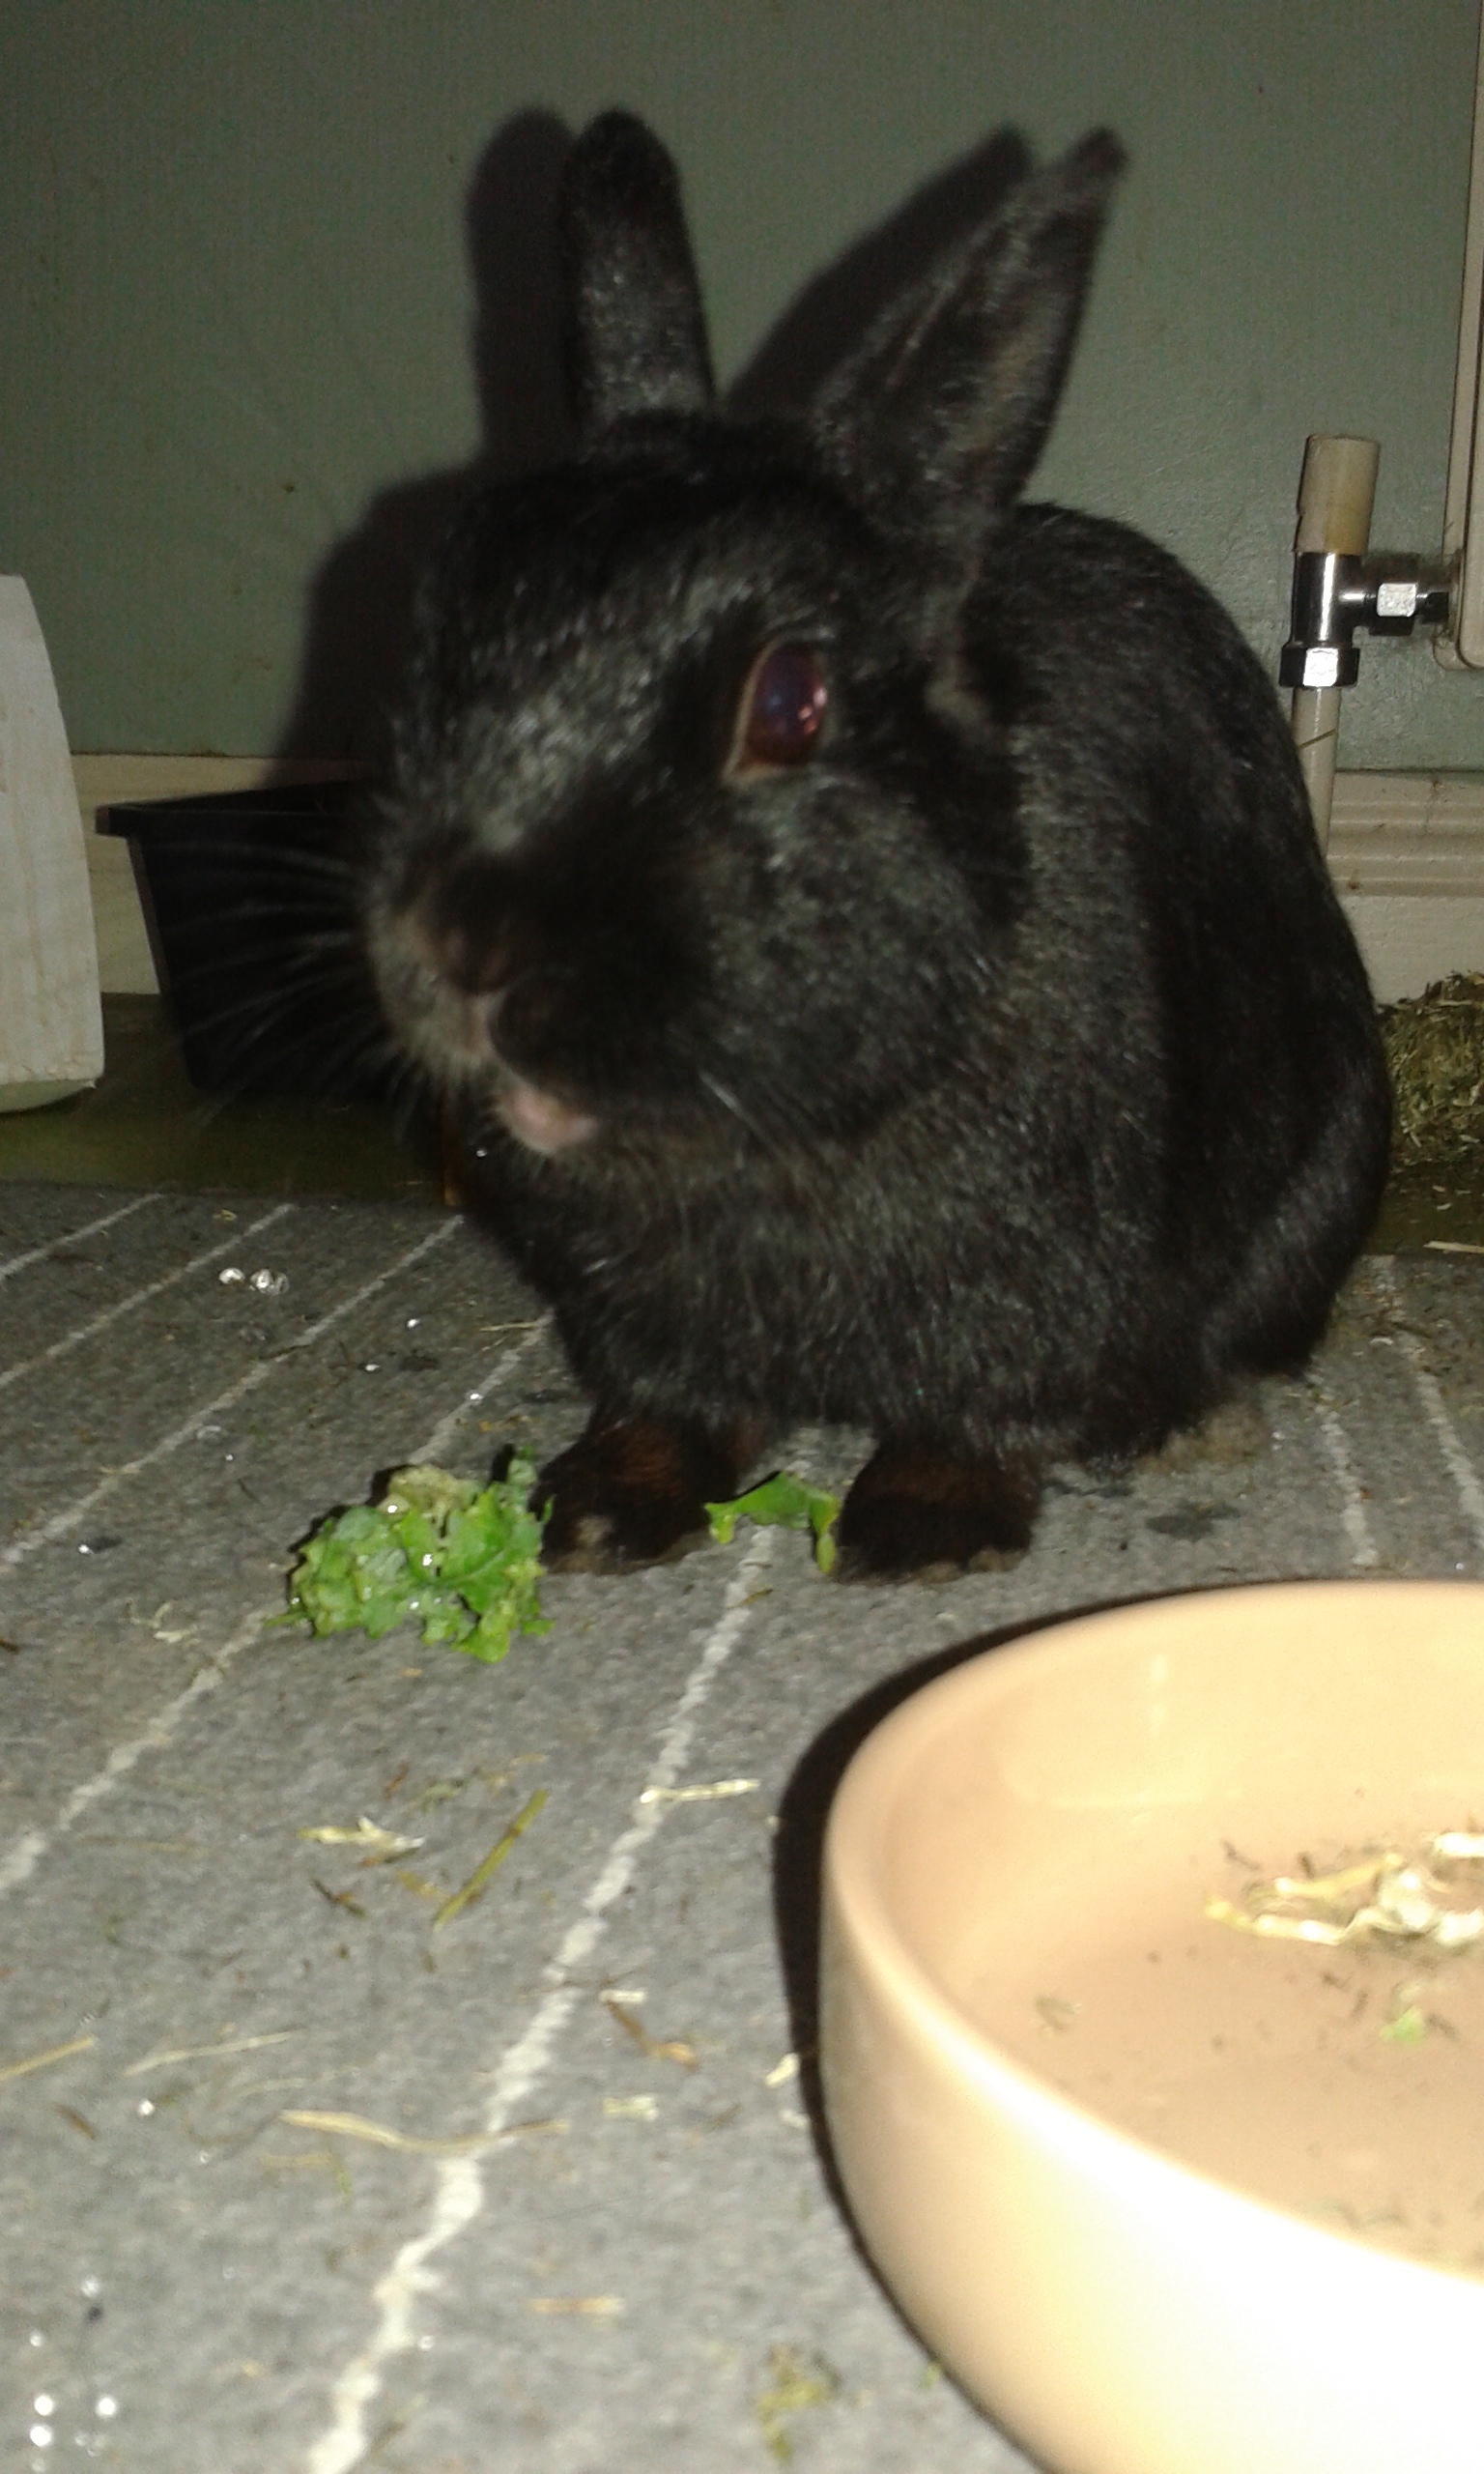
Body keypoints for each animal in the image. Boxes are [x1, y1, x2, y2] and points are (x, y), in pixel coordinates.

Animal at [363, 110, 1392, 1581]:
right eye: (439, 636)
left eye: (791, 703)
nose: (459, 950)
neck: (763, 1139)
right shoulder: (648, 1330)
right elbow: (673, 1409)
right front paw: (598, 1512)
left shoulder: (1035, 1286)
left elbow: (979, 1408)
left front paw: (924, 1534)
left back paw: (1188, 1424)